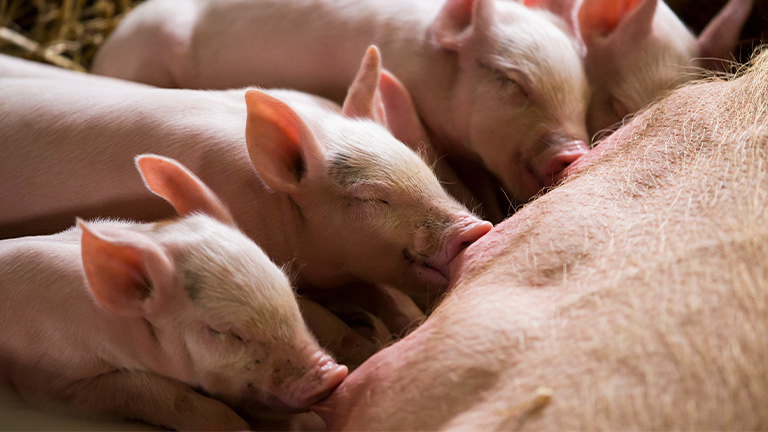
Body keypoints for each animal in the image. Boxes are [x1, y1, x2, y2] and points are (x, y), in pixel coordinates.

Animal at [0, 153, 348, 430]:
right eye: (224, 332)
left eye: (288, 288)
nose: (333, 373)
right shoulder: (52, 382)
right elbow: (157, 391)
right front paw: (238, 428)